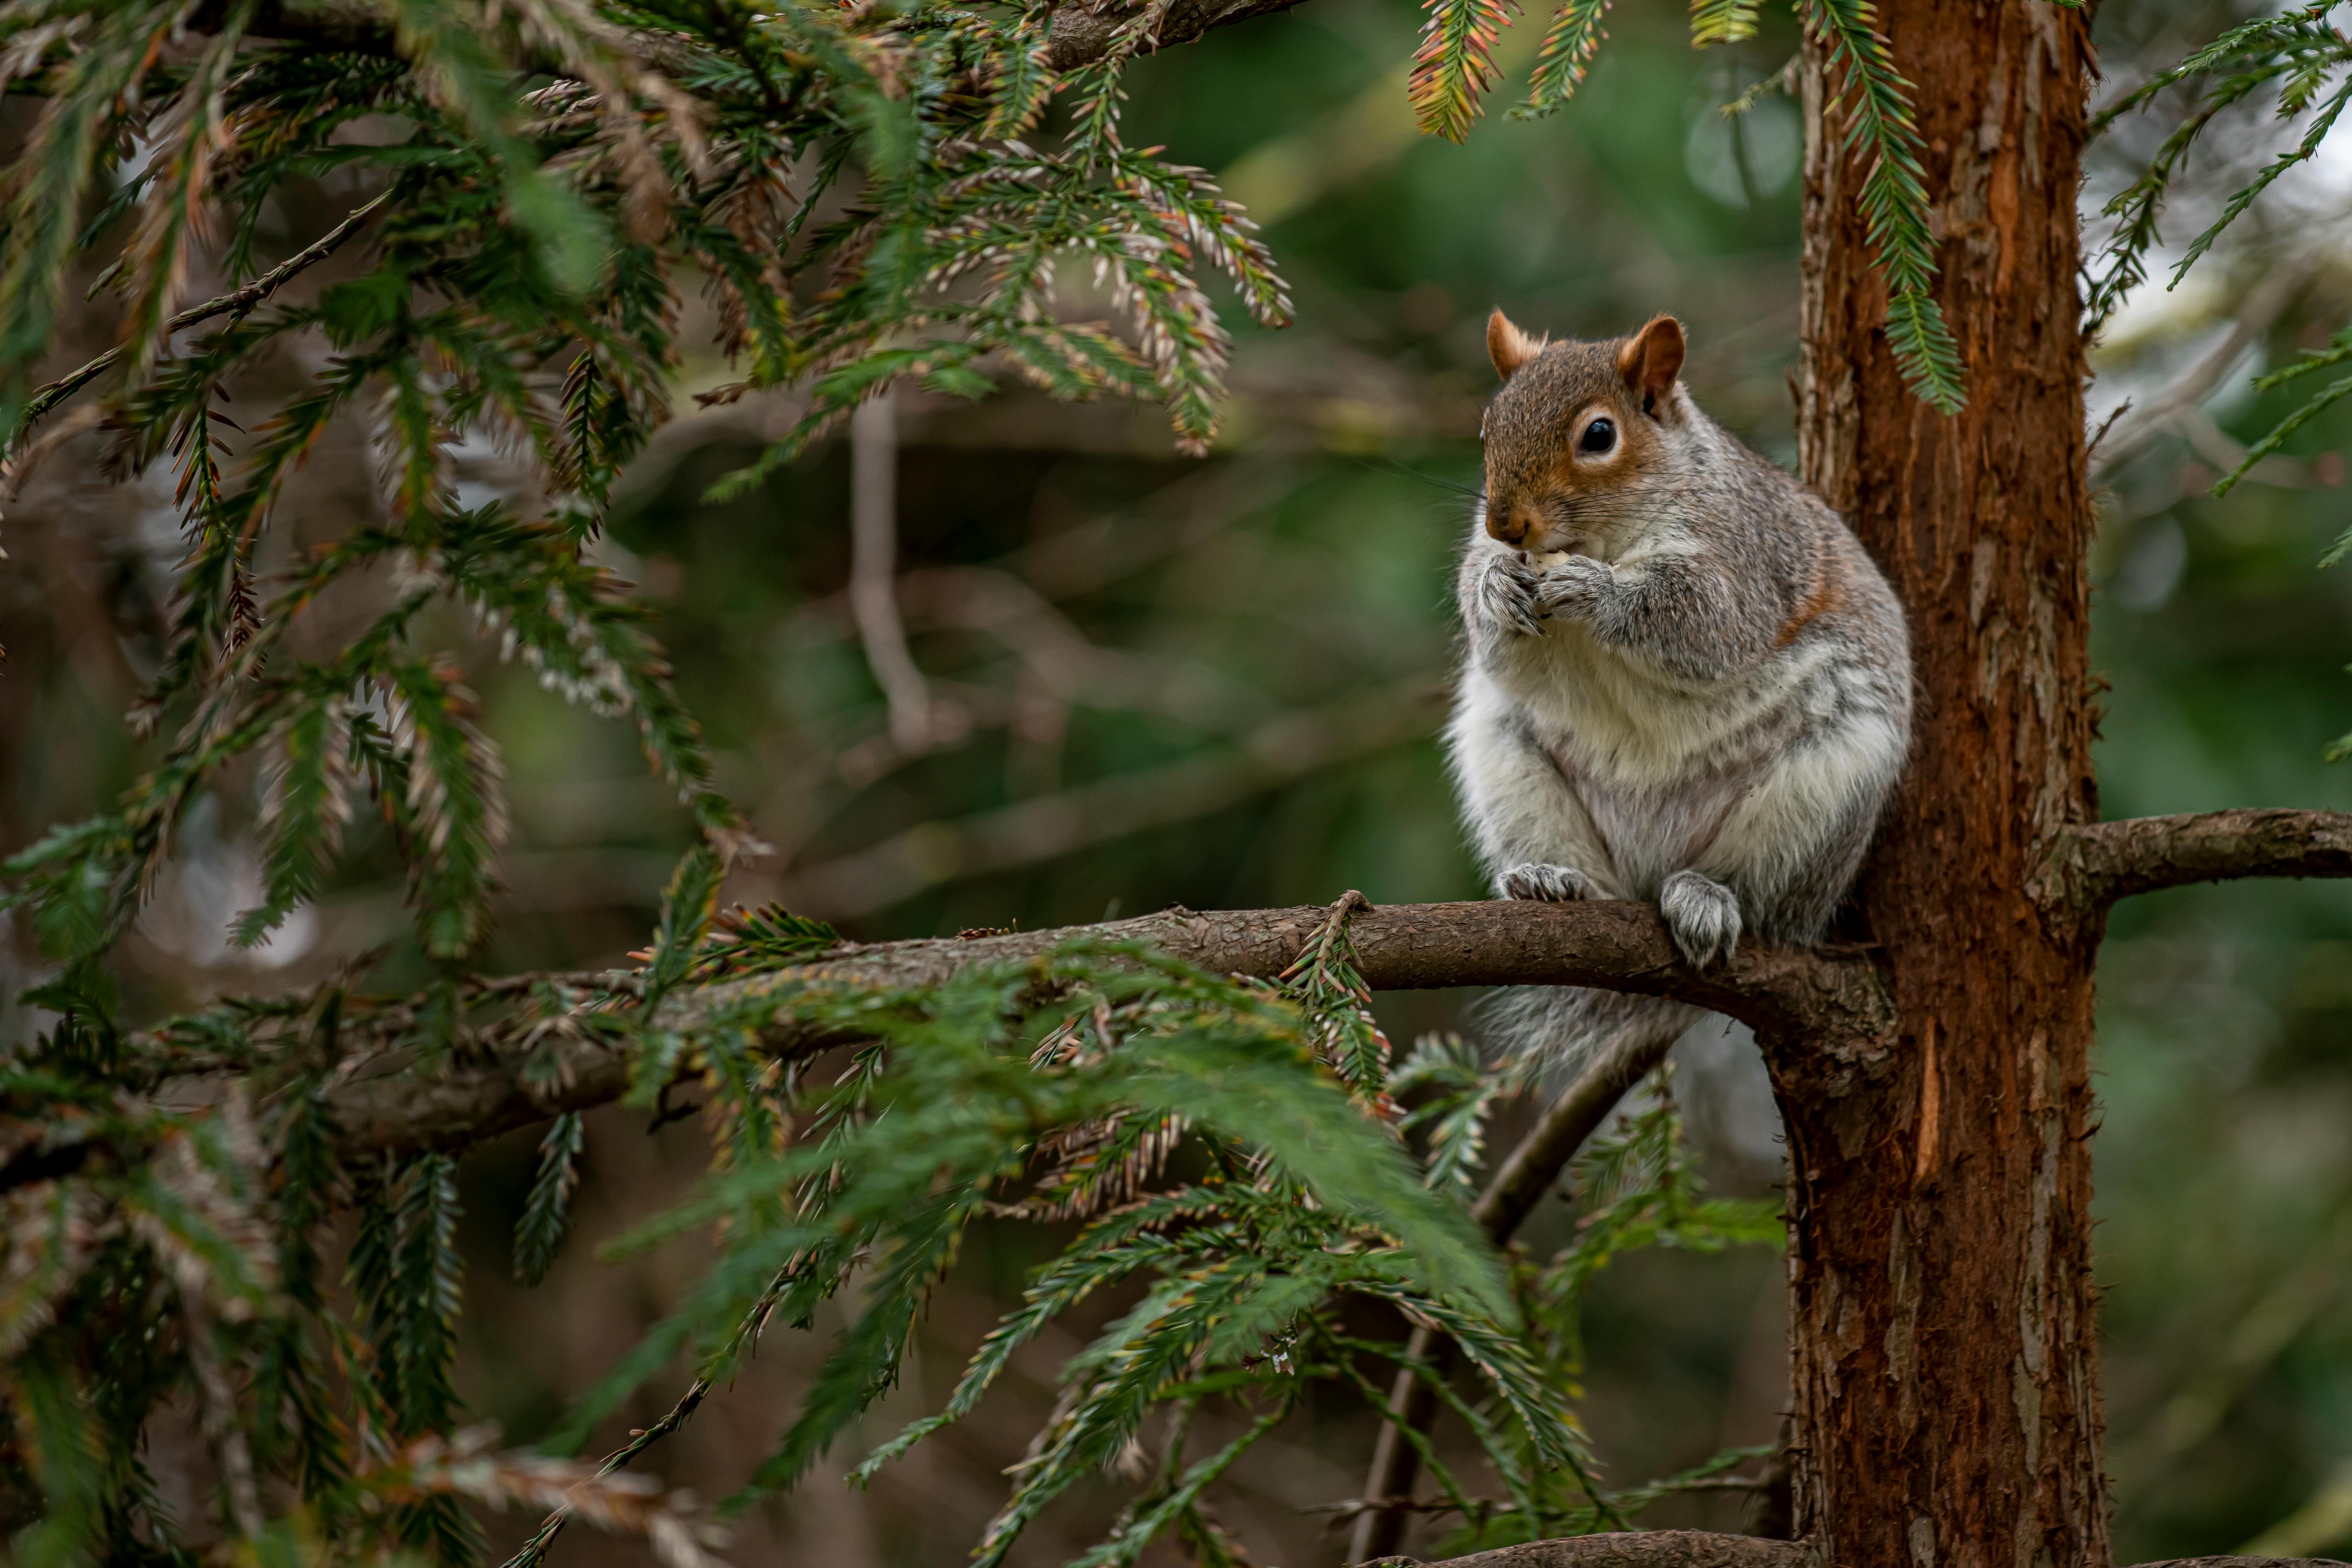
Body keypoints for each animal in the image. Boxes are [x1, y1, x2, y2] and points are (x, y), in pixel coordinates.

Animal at [1447, 310, 1912, 1068]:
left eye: (1599, 435)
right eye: (1488, 428)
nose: (1504, 525)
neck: (1605, 538)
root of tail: (1648, 867)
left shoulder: (1742, 556)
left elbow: (1702, 623)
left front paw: (1595, 591)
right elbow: (1499, 647)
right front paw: (1494, 586)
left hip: (1828, 783)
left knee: (1769, 902)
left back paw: (1706, 896)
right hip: (1507, 760)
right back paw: (1553, 884)